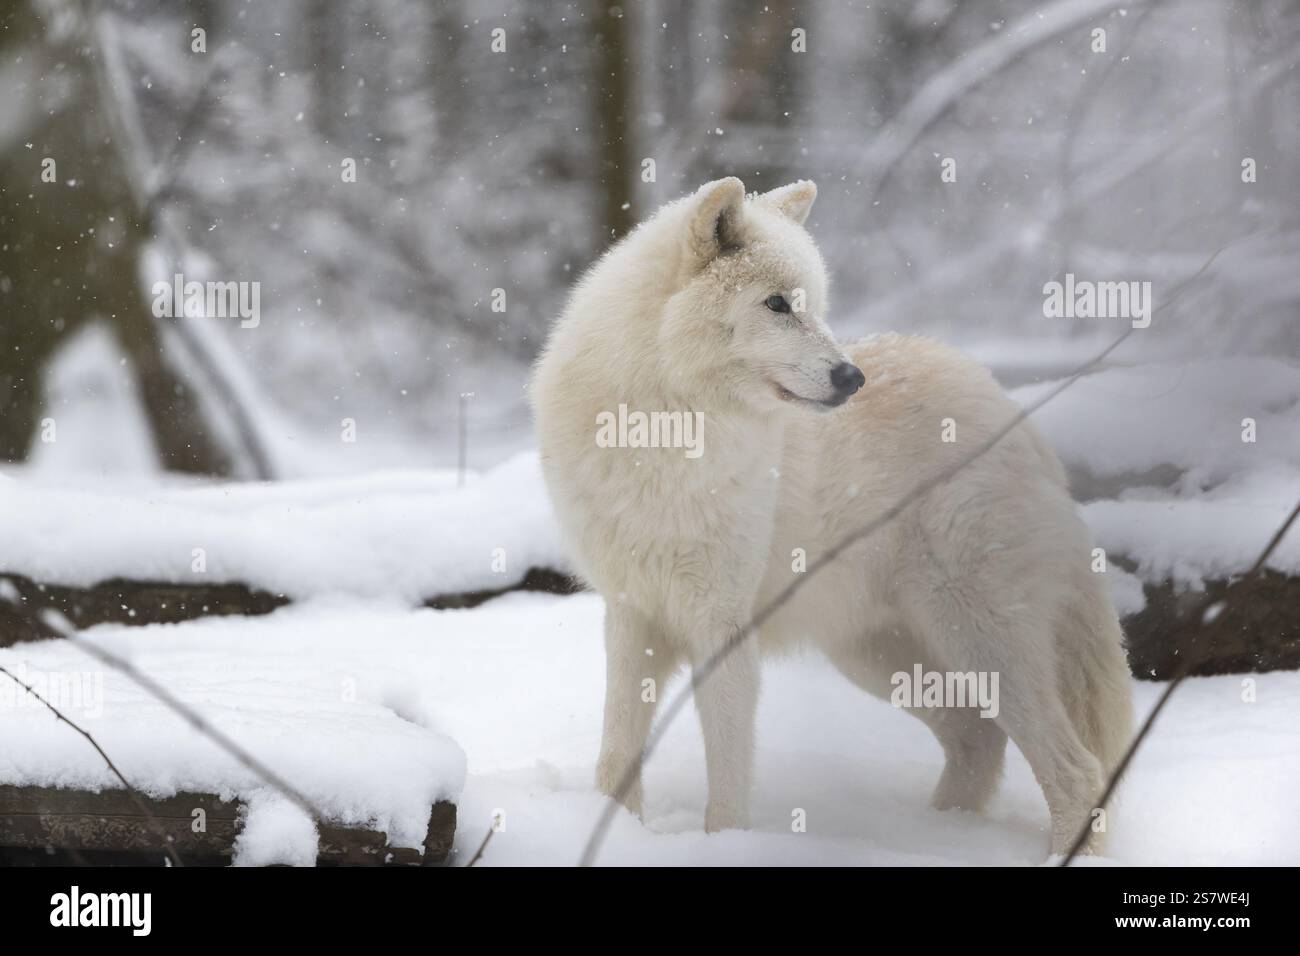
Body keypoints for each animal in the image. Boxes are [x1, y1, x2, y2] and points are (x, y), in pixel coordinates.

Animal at [530, 177, 1133, 856]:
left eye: (815, 305)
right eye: (776, 305)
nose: (852, 377)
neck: (662, 435)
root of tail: (1015, 414)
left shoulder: (723, 625)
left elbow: (728, 778)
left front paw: (725, 846)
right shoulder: (631, 616)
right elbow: (615, 757)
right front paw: (613, 833)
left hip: (979, 643)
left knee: (1076, 770)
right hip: (884, 660)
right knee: (979, 742)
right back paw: (936, 834)